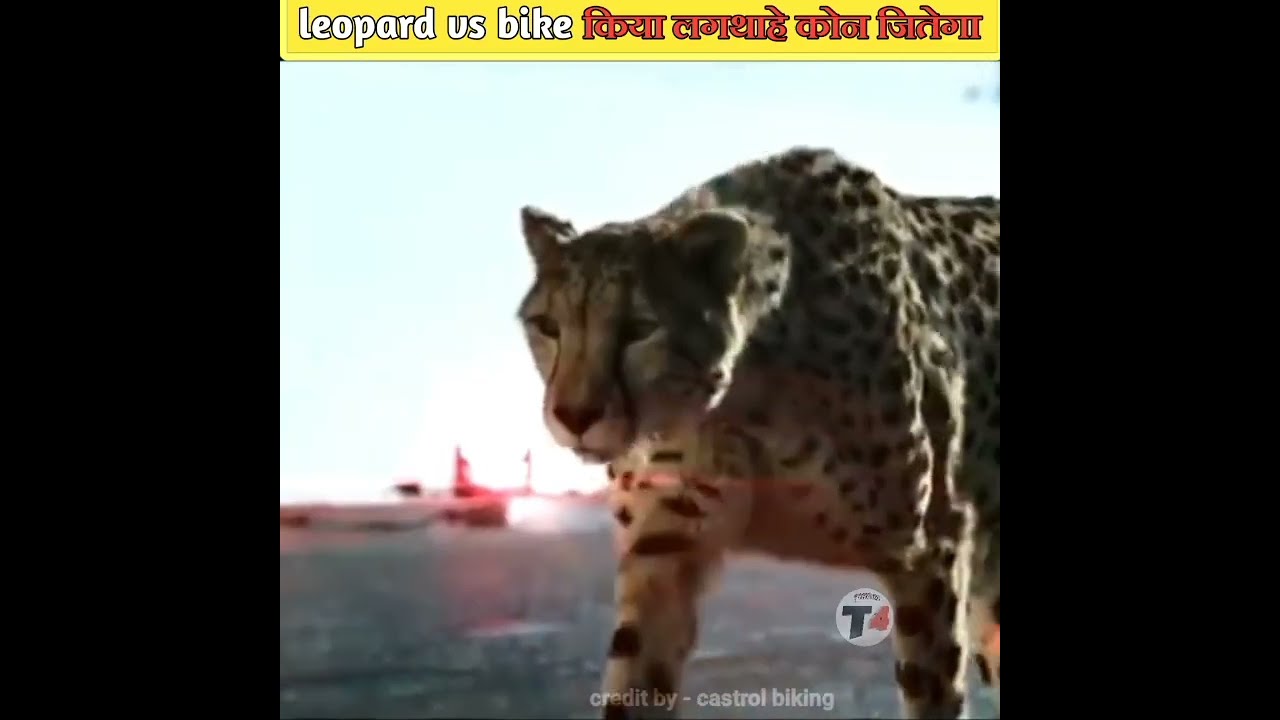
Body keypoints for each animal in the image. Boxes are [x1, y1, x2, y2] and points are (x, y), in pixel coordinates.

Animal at [514, 146, 1000, 719]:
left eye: (640, 328)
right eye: (547, 326)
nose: (574, 414)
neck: (734, 407)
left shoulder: (930, 547)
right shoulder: (664, 551)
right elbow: (635, 678)